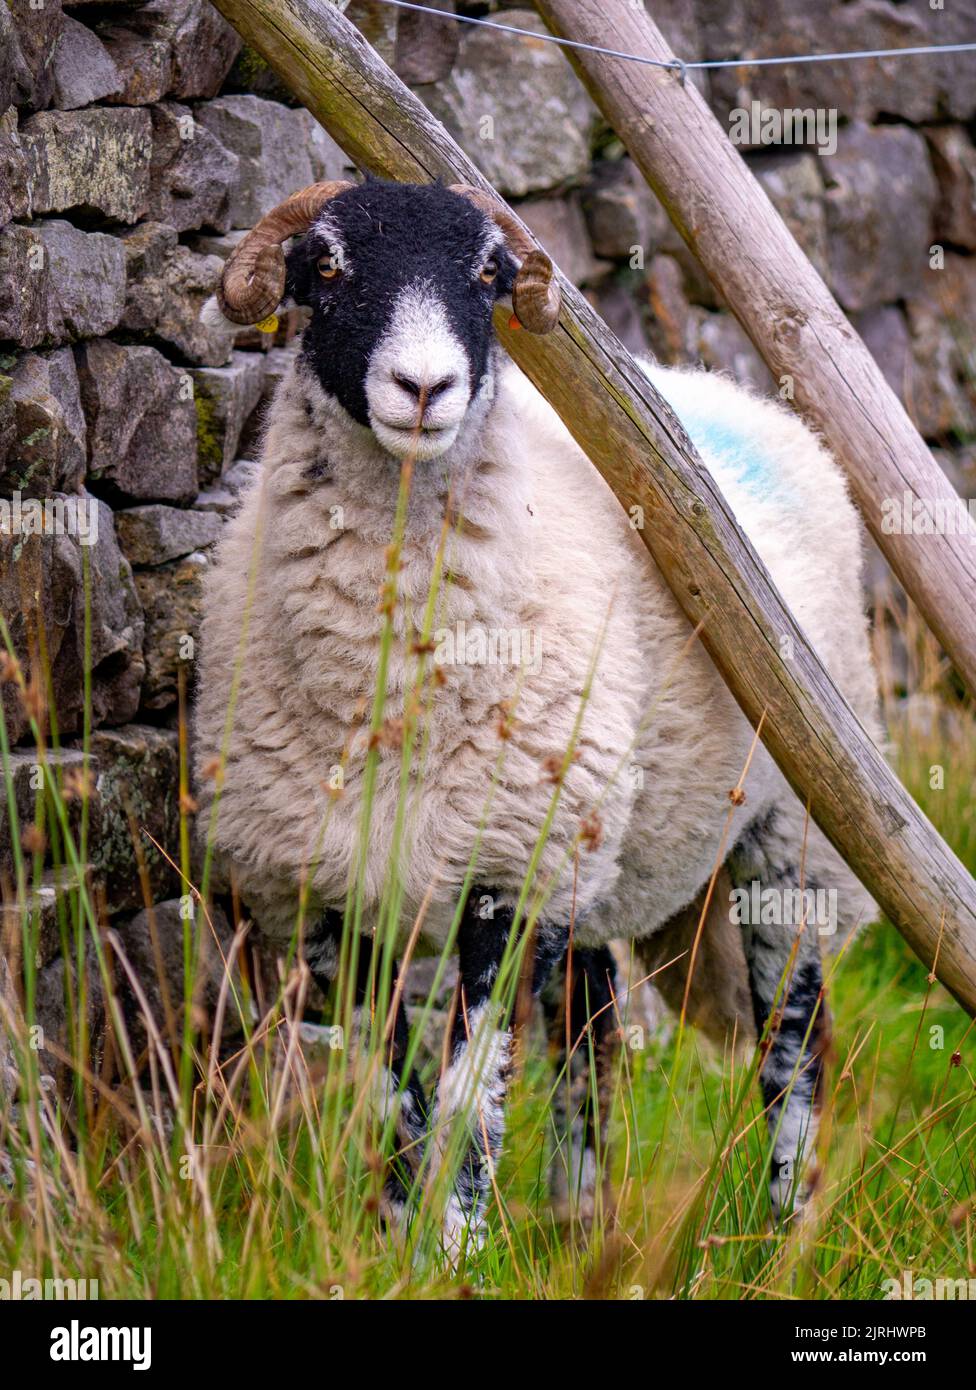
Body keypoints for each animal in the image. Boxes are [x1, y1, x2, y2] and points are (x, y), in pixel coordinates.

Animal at [195, 176, 882, 1252]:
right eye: (327, 268)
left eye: (488, 275)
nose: (424, 388)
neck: (389, 689)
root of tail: (733, 393)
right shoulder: (340, 896)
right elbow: (403, 1094)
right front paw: (396, 1239)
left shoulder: (507, 878)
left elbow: (470, 1099)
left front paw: (454, 1250)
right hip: (600, 854)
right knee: (589, 1045)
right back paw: (580, 1220)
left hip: (798, 841)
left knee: (793, 1047)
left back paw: (777, 1232)